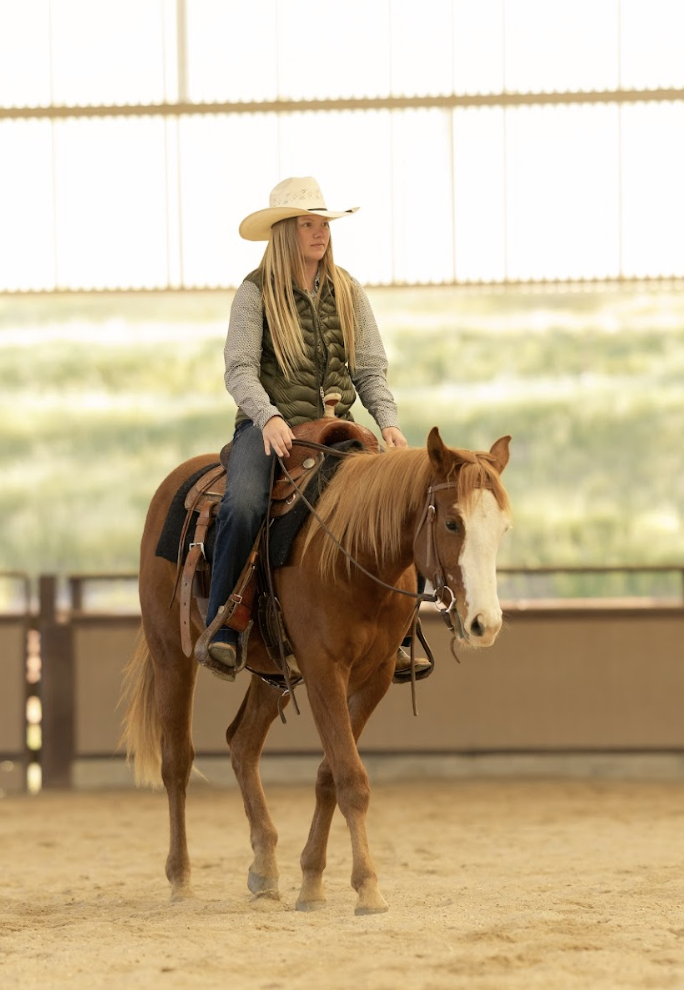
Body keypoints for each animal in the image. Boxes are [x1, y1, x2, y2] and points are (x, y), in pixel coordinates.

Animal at [121, 427, 512, 914]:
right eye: (452, 523)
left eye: (503, 528)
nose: (485, 623)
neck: (355, 555)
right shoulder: (325, 671)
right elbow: (351, 777)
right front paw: (367, 888)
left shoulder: (375, 676)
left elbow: (331, 773)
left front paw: (312, 882)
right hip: (170, 651)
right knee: (177, 761)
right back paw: (180, 879)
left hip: (274, 675)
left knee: (242, 744)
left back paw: (265, 869)